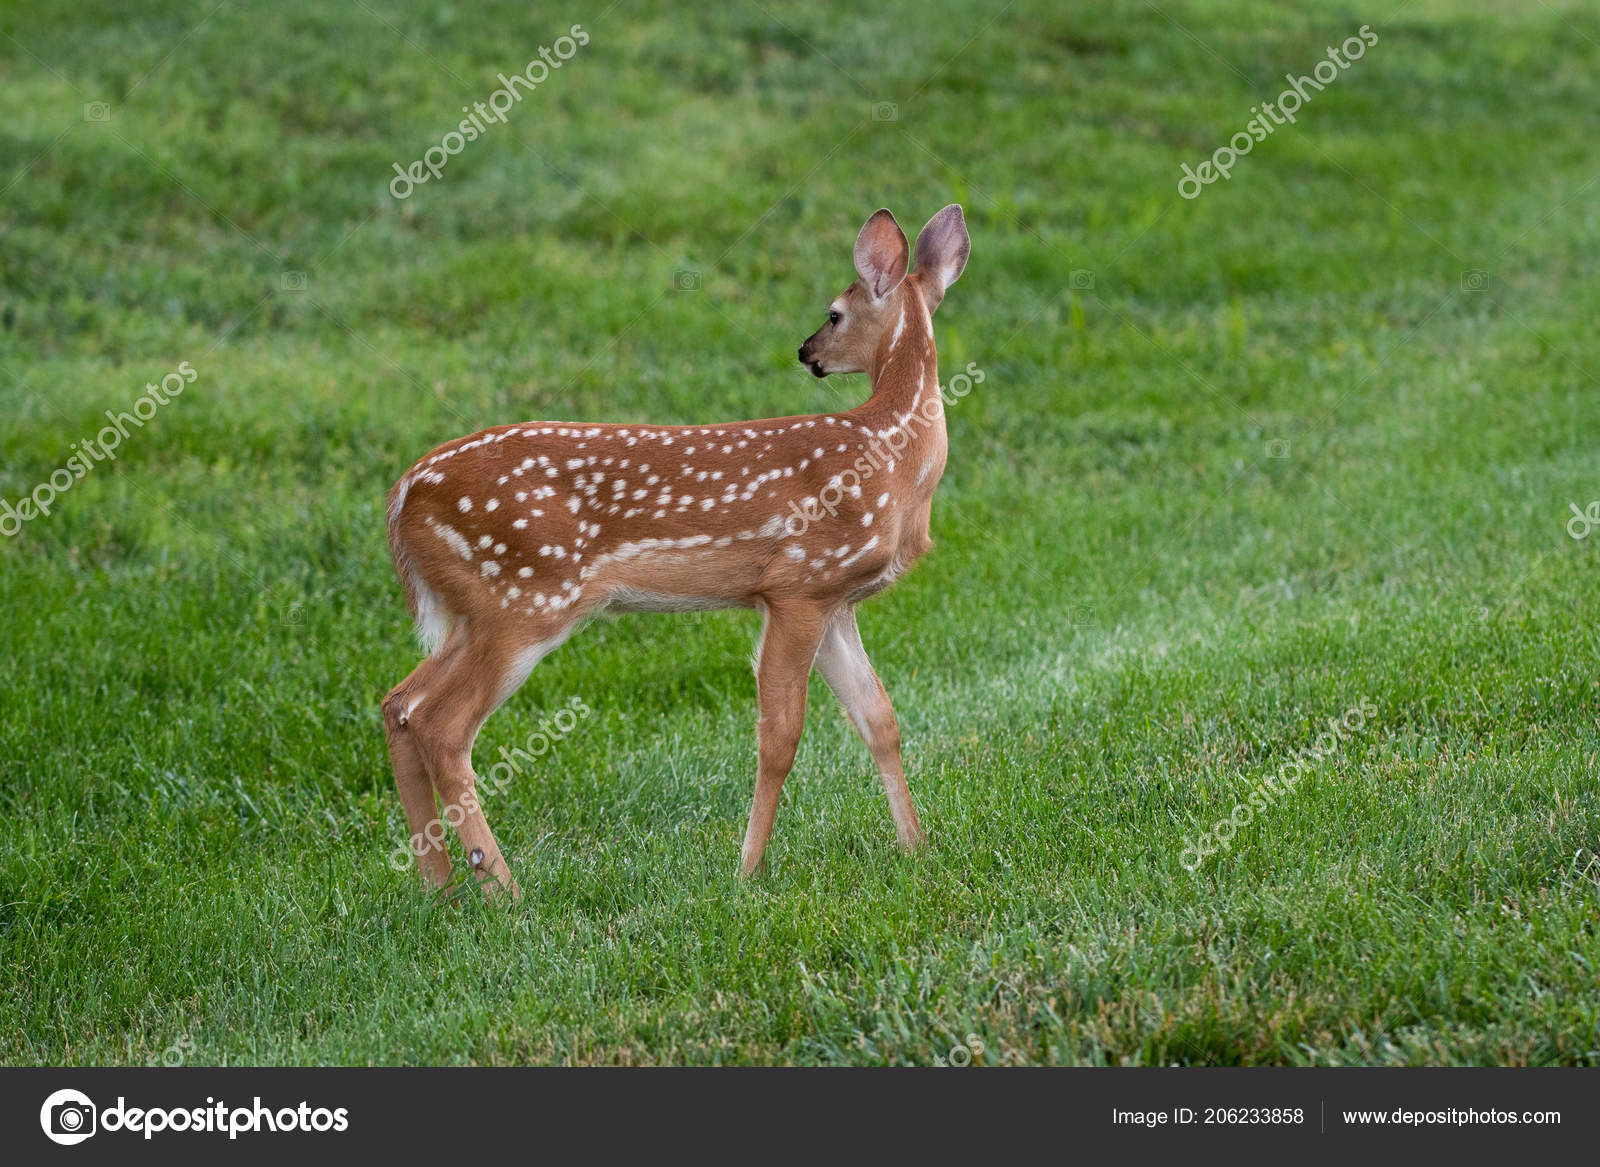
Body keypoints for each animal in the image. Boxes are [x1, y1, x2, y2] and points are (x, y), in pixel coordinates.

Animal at [381, 204, 971, 897]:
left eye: (831, 314)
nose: (806, 352)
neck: (892, 455)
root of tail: (401, 498)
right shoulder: (796, 585)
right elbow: (780, 738)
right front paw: (748, 869)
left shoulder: (835, 599)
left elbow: (879, 720)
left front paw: (917, 848)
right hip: (523, 597)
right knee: (443, 725)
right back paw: (503, 891)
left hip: (476, 610)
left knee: (400, 704)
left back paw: (438, 887)